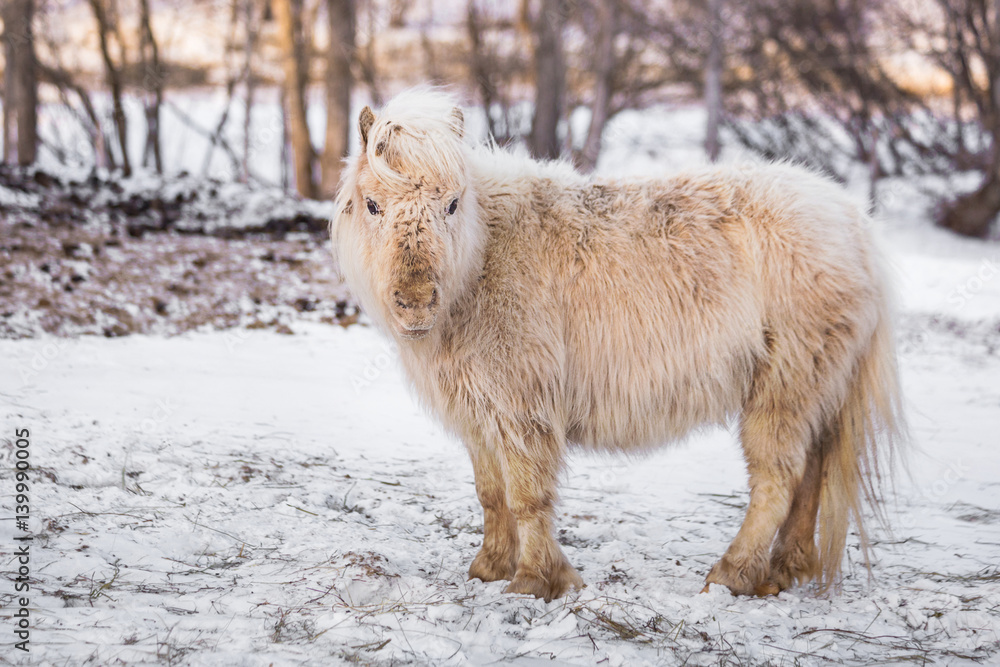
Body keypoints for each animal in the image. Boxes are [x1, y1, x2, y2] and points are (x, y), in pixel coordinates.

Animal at [331, 89, 903, 601]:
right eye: (373, 204)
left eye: (451, 204)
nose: (415, 301)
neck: (486, 257)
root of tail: (856, 225)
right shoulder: (479, 411)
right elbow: (491, 494)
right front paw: (489, 568)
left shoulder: (522, 408)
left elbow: (526, 497)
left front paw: (536, 580)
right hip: (813, 393)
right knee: (811, 475)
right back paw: (782, 571)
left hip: (784, 391)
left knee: (778, 481)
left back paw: (731, 575)